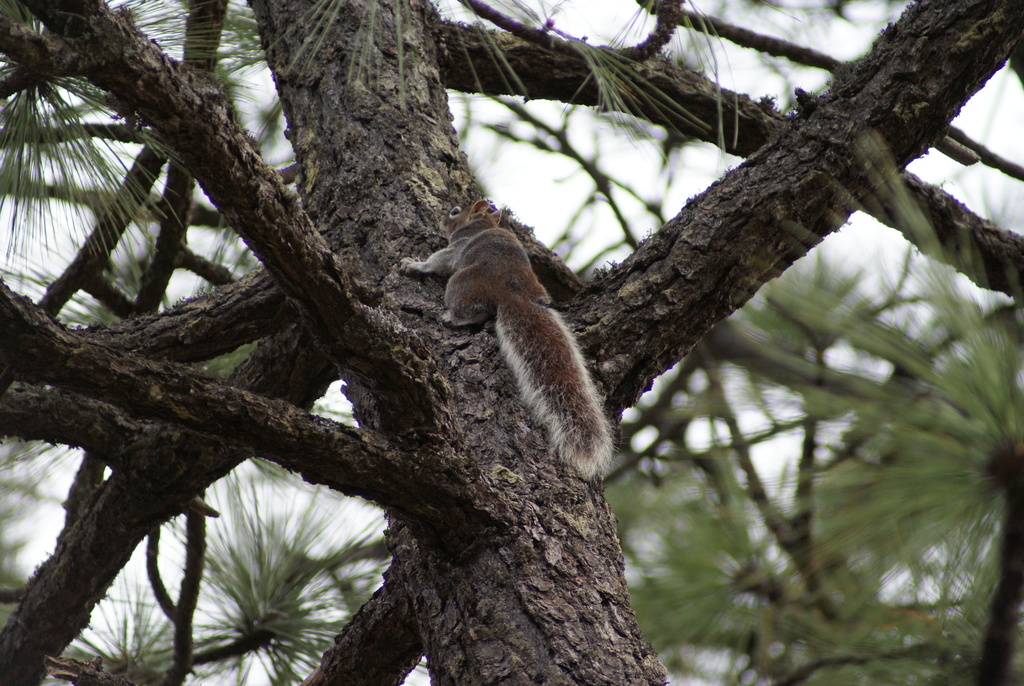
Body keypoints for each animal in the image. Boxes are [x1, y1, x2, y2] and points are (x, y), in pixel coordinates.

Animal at [400, 200, 613, 480]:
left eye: (455, 212)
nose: (440, 218)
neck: (479, 225)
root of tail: (512, 295)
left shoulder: (456, 248)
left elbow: (438, 260)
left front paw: (415, 264)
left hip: (459, 284)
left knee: (472, 309)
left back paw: (454, 318)